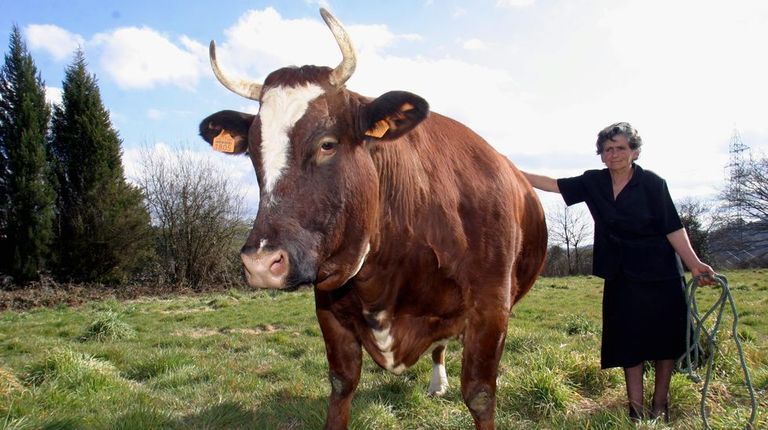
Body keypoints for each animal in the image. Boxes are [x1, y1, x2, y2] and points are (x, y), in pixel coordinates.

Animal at [198, 9, 547, 430]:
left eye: (327, 143)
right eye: (252, 151)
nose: (262, 263)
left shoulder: (491, 309)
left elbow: (480, 395)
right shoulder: (329, 307)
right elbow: (341, 385)